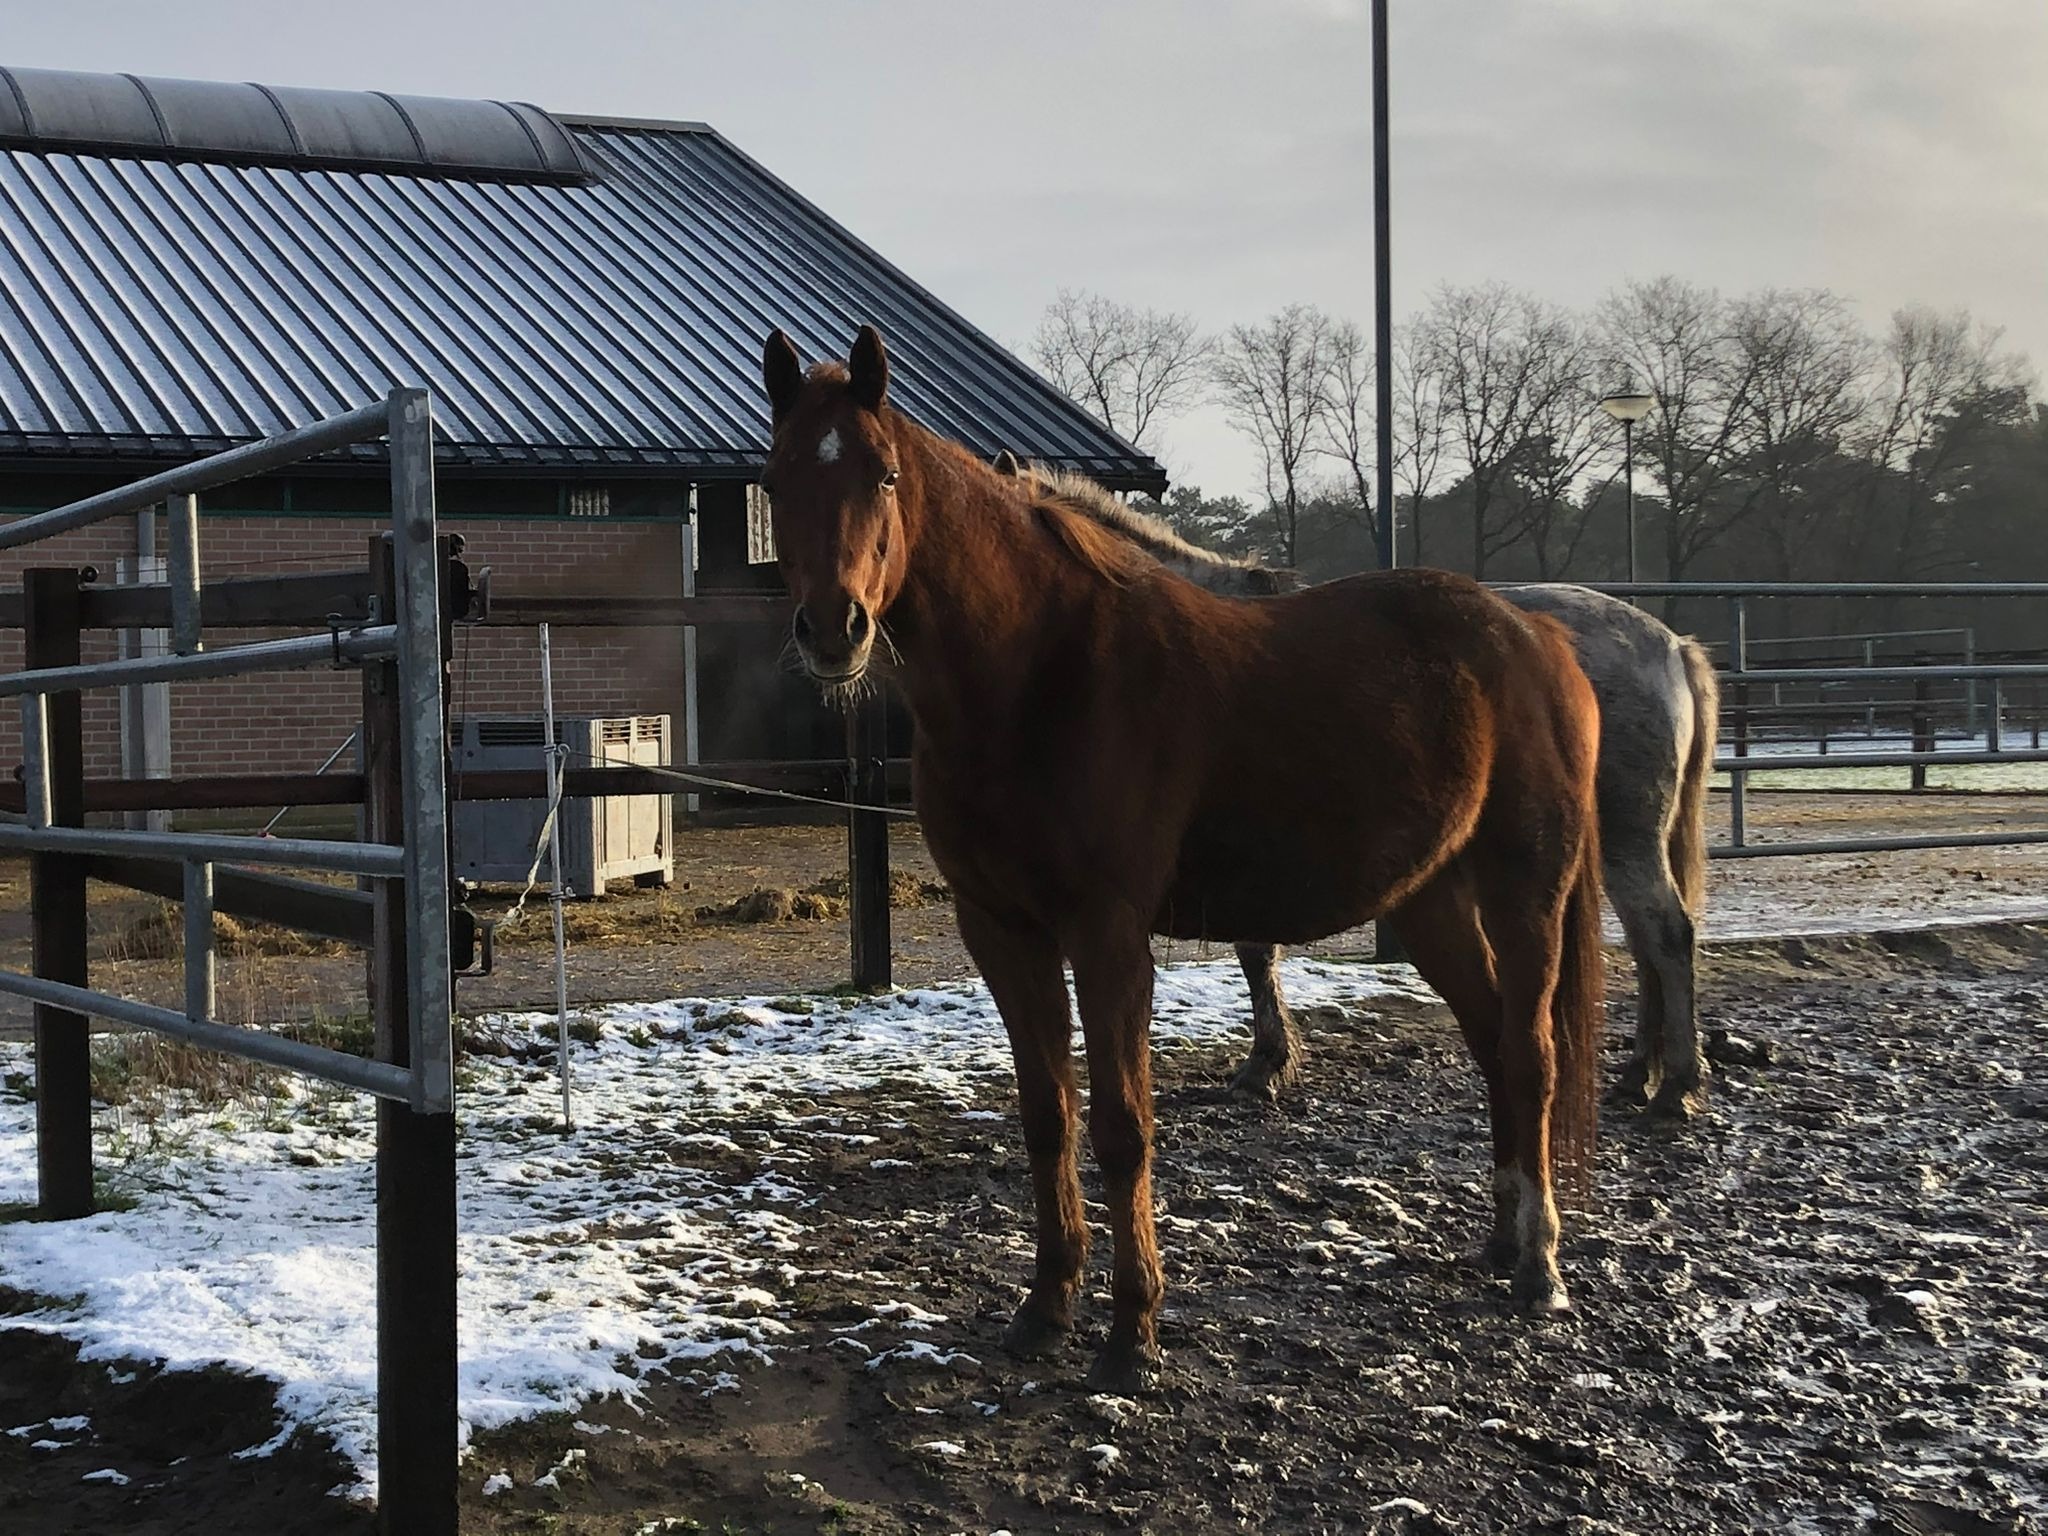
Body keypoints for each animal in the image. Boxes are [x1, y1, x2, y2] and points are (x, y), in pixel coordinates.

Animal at [760, 325, 1606, 1391]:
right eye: (777, 478)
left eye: (883, 474)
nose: (834, 630)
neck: (1041, 675)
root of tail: (1536, 636)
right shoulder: (1002, 931)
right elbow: (1047, 1117)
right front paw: (1047, 1306)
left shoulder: (1110, 936)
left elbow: (1123, 1126)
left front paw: (1132, 1334)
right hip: (1431, 903)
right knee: (1493, 1041)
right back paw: (1500, 1241)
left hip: (1526, 888)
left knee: (1531, 1054)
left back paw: (1540, 1268)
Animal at [988, 455, 1721, 1118]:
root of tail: (1669, 645)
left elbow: (1256, 951)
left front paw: (1265, 1066)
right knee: (1647, 943)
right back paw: (1640, 1073)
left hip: (1623, 834)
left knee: (1666, 935)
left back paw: (1675, 1084)